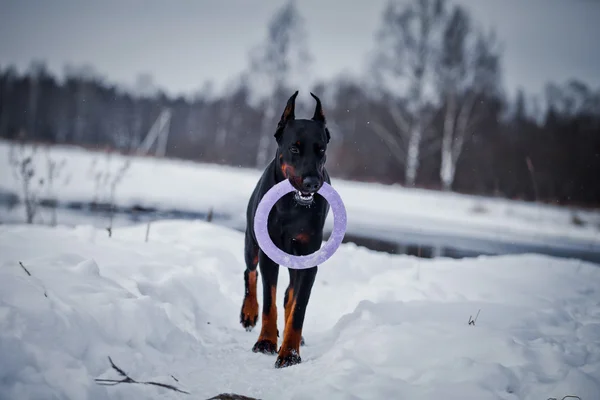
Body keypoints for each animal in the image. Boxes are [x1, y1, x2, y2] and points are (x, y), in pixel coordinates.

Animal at [240, 90, 332, 368]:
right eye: (294, 148)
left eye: (321, 150)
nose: (312, 183)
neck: (293, 205)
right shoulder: (269, 255)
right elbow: (268, 302)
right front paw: (266, 342)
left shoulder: (308, 259)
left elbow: (298, 306)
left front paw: (290, 352)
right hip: (251, 241)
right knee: (250, 272)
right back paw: (248, 313)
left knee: (290, 294)